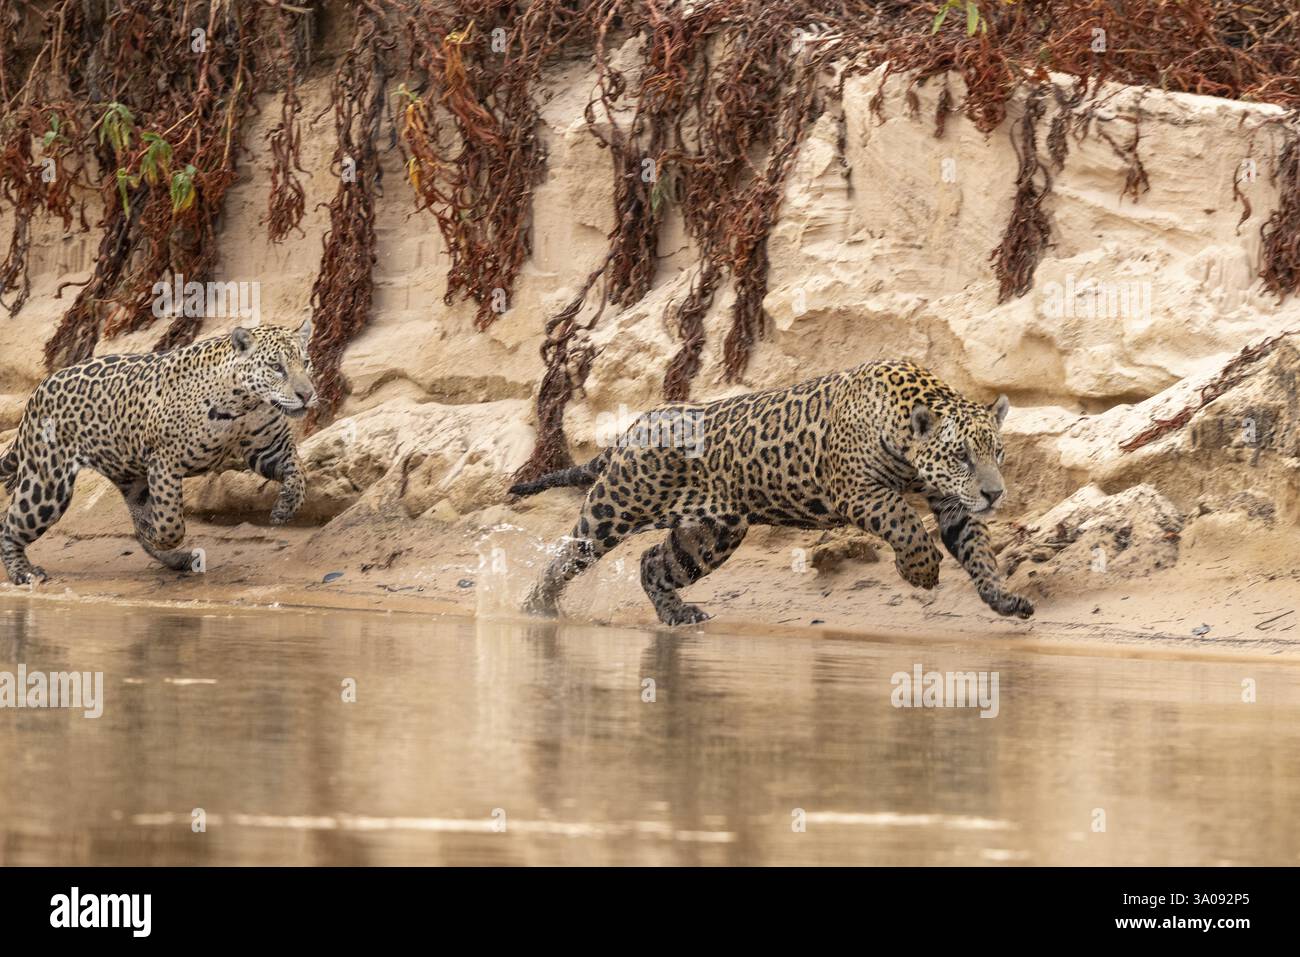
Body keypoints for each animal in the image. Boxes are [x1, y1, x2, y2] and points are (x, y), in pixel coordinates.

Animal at [0, 320, 316, 585]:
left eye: (306, 363)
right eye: (276, 366)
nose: (307, 394)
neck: (245, 403)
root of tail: (39, 390)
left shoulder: (269, 448)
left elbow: (297, 472)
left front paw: (286, 506)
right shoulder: (164, 461)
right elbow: (170, 522)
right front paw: (160, 534)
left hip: (130, 477)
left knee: (137, 521)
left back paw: (176, 558)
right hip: (47, 486)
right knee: (9, 525)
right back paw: (23, 572)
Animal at [509, 359, 1034, 627]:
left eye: (997, 452)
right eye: (961, 456)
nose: (995, 494)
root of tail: (637, 425)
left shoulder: (954, 507)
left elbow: (979, 551)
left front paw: (1003, 599)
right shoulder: (860, 491)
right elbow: (903, 522)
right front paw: (921, 571)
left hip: (712, 534)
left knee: (653, 563)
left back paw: (678, 613)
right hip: (613, 509)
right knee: (568, 555)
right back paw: (537, 606)